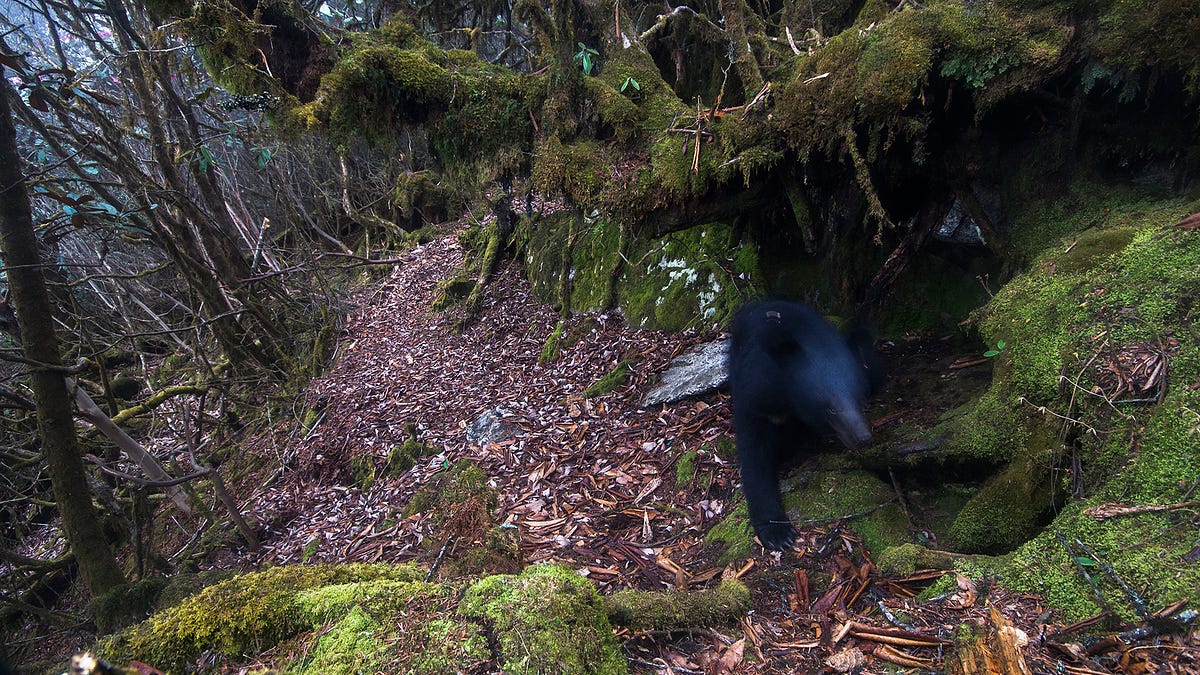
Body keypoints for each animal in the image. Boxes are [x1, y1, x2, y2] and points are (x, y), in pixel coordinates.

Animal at [727, 300, 878, 551]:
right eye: (831, 408)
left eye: (861, 399)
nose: (863, 438)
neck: (787, 396)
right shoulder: (753, 391)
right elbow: (754, 453)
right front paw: (778, 533)